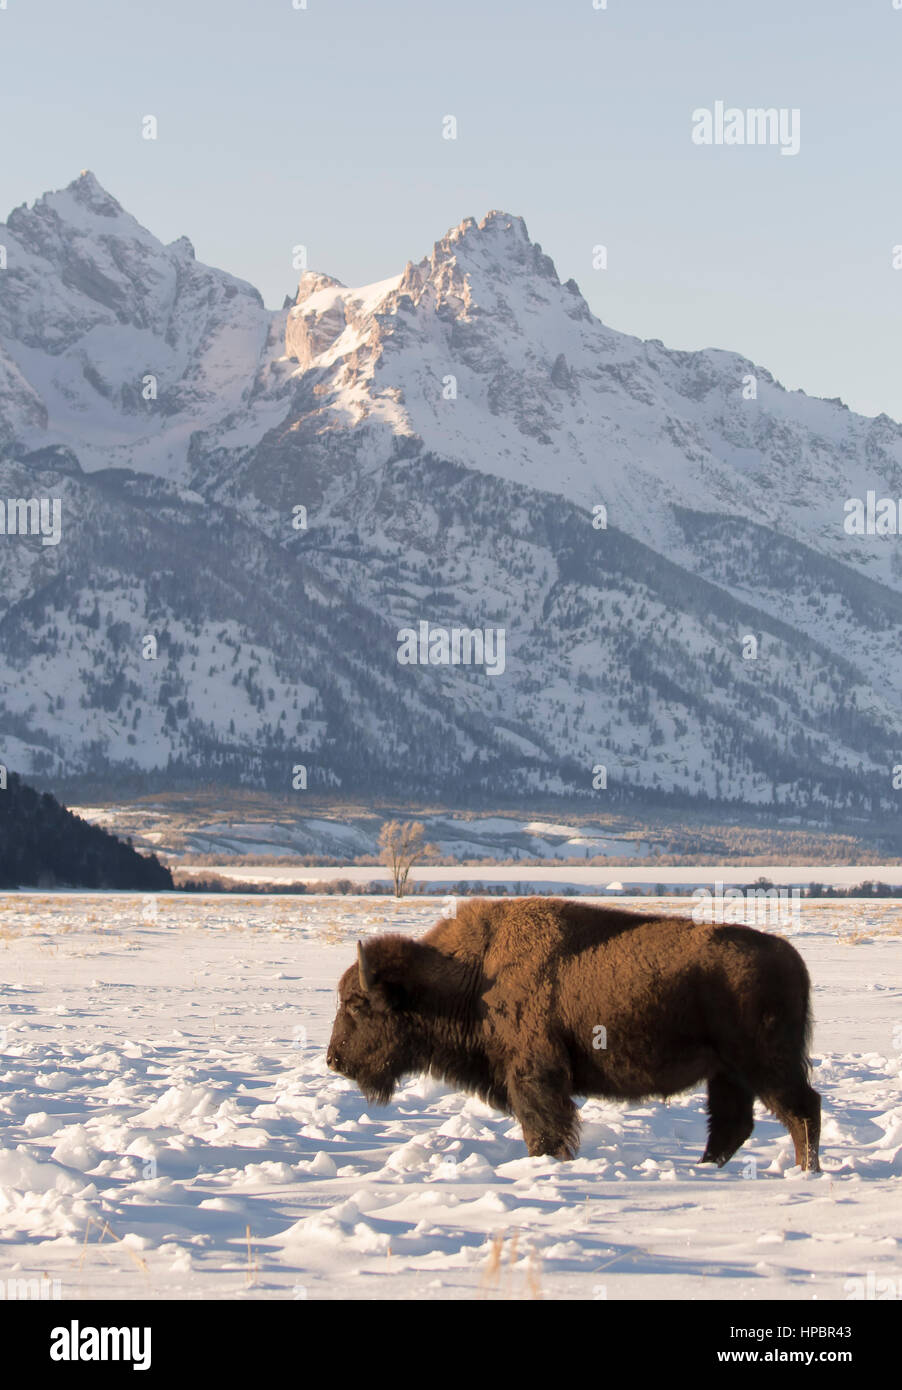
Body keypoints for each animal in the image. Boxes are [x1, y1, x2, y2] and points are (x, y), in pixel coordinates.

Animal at [326, 896, 821, 1170]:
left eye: (357, 1004)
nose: (334, 1059)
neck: (473, 974)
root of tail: (793, 958)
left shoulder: (534, 1074)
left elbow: (544, 1128)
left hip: (764, 1064)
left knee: (802, 1110)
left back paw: (805, 1172)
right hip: (728, 1073)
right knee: (733, 1124)